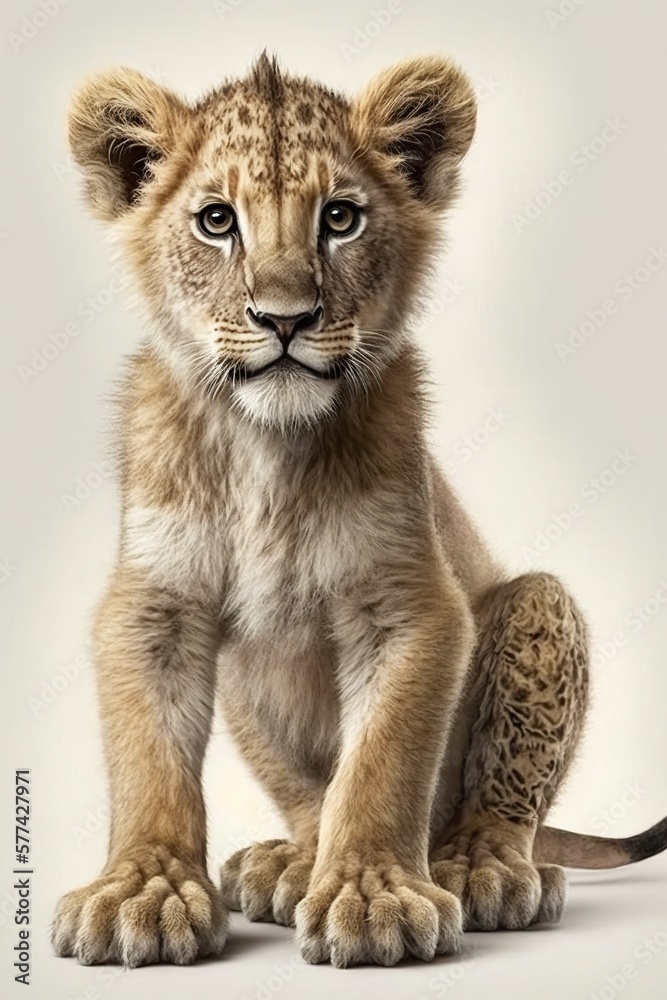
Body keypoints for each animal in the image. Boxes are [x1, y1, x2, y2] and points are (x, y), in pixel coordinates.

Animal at [52, 53, 667, 969]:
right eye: (215, 221)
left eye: (339, 218)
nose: (285, 318)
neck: (266, 446)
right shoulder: (152, 602)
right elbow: (148, 762)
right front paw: (145, 890)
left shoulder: (410, 601)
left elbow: (380, 763)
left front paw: (375, 896)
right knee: (306, 797)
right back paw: (288, 865)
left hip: (537, 604)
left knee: (495, 800)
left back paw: (480, 867)